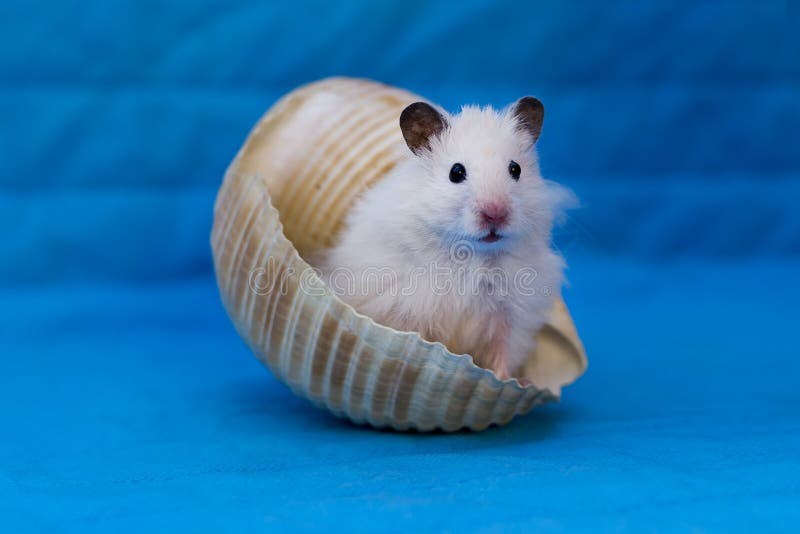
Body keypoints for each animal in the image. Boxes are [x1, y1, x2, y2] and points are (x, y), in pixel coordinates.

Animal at [320, 97, 568, 382]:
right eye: (456, 172)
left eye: (515, 169)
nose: (495, 213)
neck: (470, 254)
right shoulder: (406, 303)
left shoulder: (512, 314)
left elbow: (503, 353)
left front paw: (509, 381)